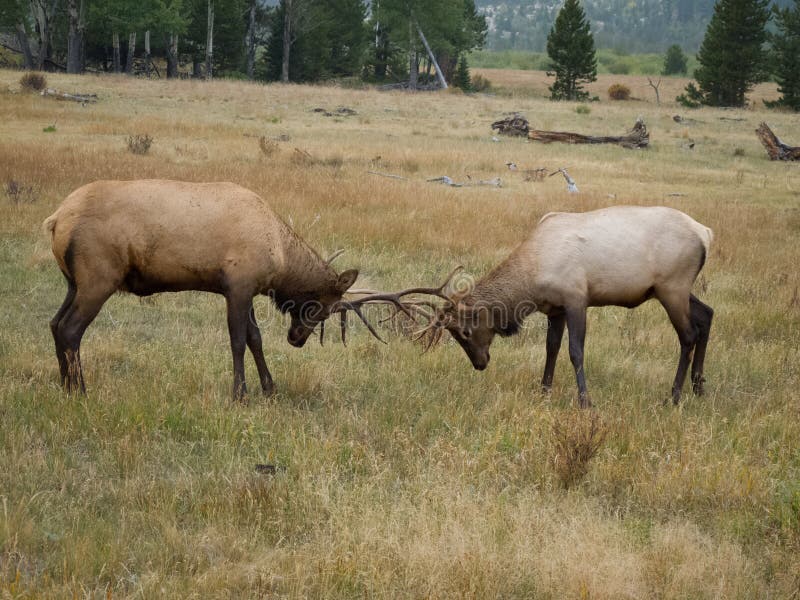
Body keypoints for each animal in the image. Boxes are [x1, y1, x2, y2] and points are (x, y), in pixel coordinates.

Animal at [43, 179, 438, 401]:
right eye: (320, 307)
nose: (297, 338)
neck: (280, 255)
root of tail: (56, 218)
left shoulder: (247, 288)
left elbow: (255, 338)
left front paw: (270, 389)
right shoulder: (237, 285)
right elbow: (237, 339)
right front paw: (241, 393)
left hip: (73, 281)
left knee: (54, 323)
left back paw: (64, 387)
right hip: (98, 277)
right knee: (71, 328)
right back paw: (80, 391)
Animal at [416, 206, 714, 408]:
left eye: (465, 332)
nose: (480, 363)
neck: (532, 277)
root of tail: (706, 234)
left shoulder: (576, 299)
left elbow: (575, 351)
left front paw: (585, 401)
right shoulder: (555, 308)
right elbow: (552, 348)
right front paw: (544, 391)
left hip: (672, 288)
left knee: (688, 334)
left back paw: (674, 396)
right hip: (671, 290)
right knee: (707, 314)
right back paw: (698, 386)